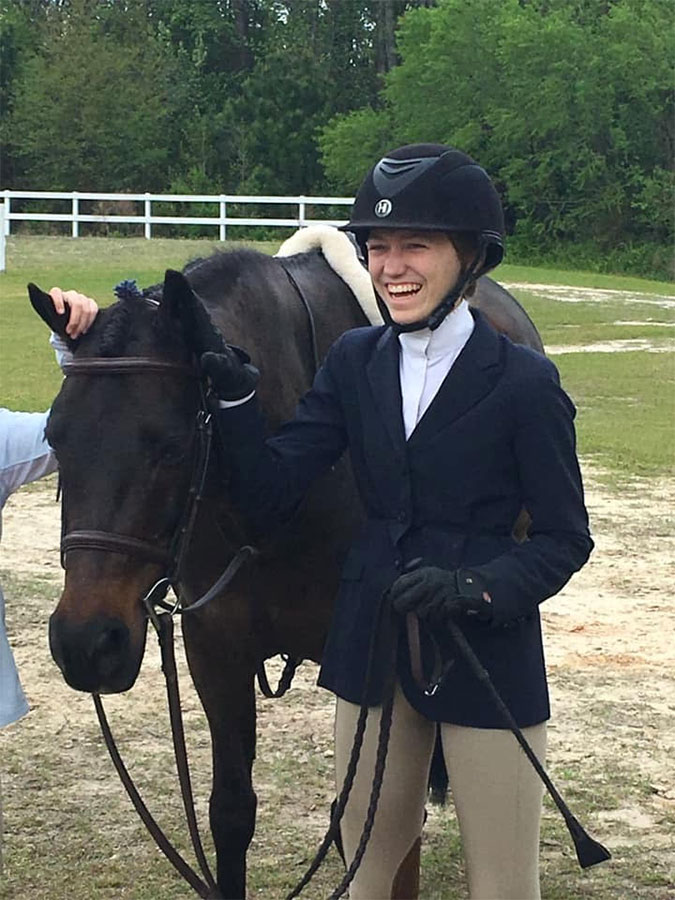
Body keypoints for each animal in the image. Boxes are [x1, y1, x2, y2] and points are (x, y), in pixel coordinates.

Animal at [28, 232, 543, 898]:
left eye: (172, 446)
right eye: (55, 439)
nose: (87, 643)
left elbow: (372, 823)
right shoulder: (216, 650)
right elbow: (231, 812)